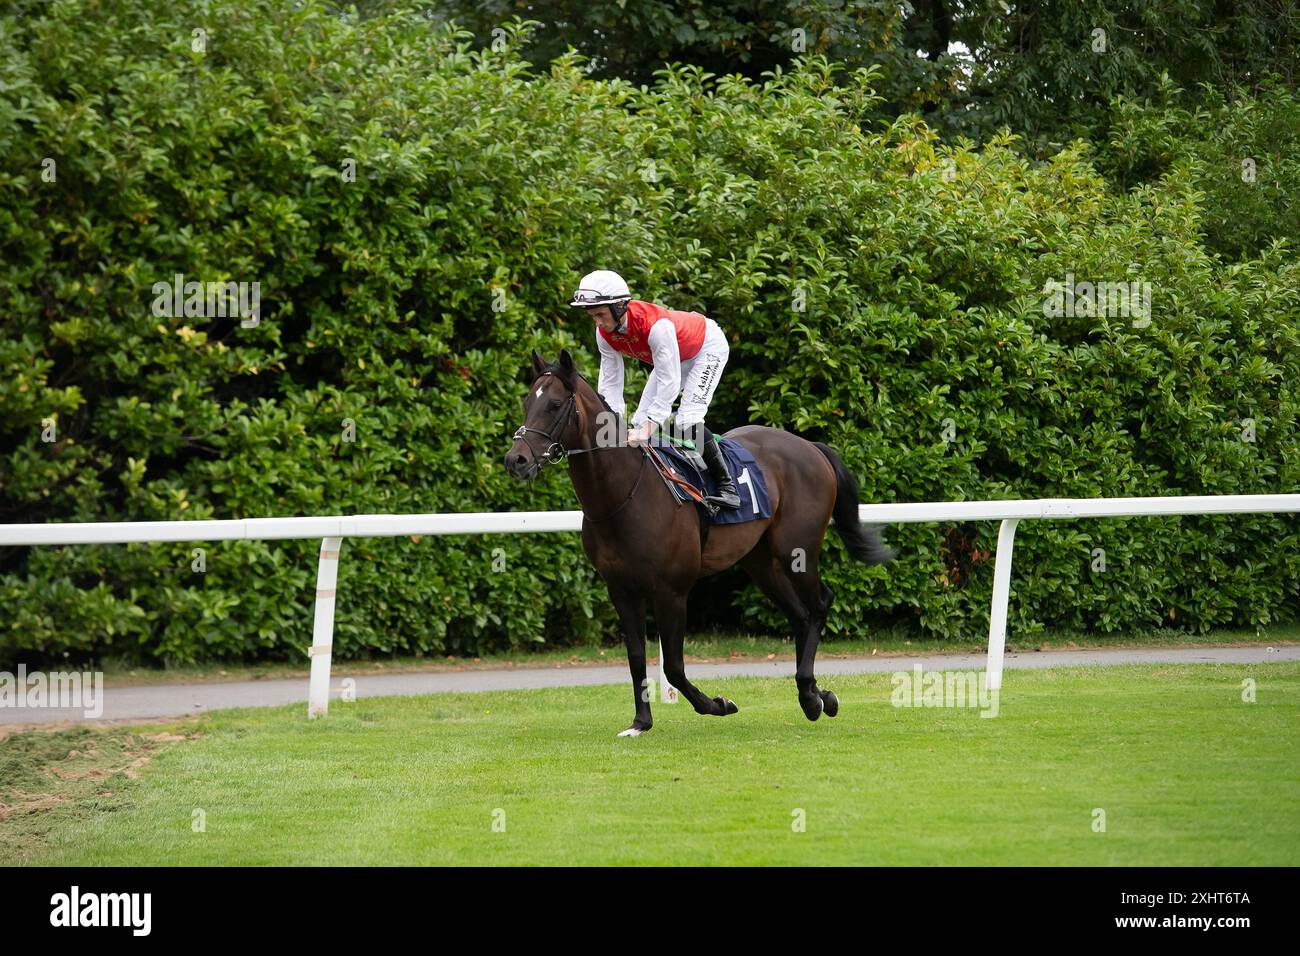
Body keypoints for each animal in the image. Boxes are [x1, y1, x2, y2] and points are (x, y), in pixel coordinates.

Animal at [504, 349, 896, 736]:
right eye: (527, 401)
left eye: (554, 404)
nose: (515, 460)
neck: (624, 494)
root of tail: (810, 446)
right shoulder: (622, 590)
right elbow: (636, 657)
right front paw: (641, 722)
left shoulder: (672, 591)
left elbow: (674, 667)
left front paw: (718, 704)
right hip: (760, 562)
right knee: (800, 614)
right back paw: (812, 694)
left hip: (797, 550)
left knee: (818, 604)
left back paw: (814, 696)